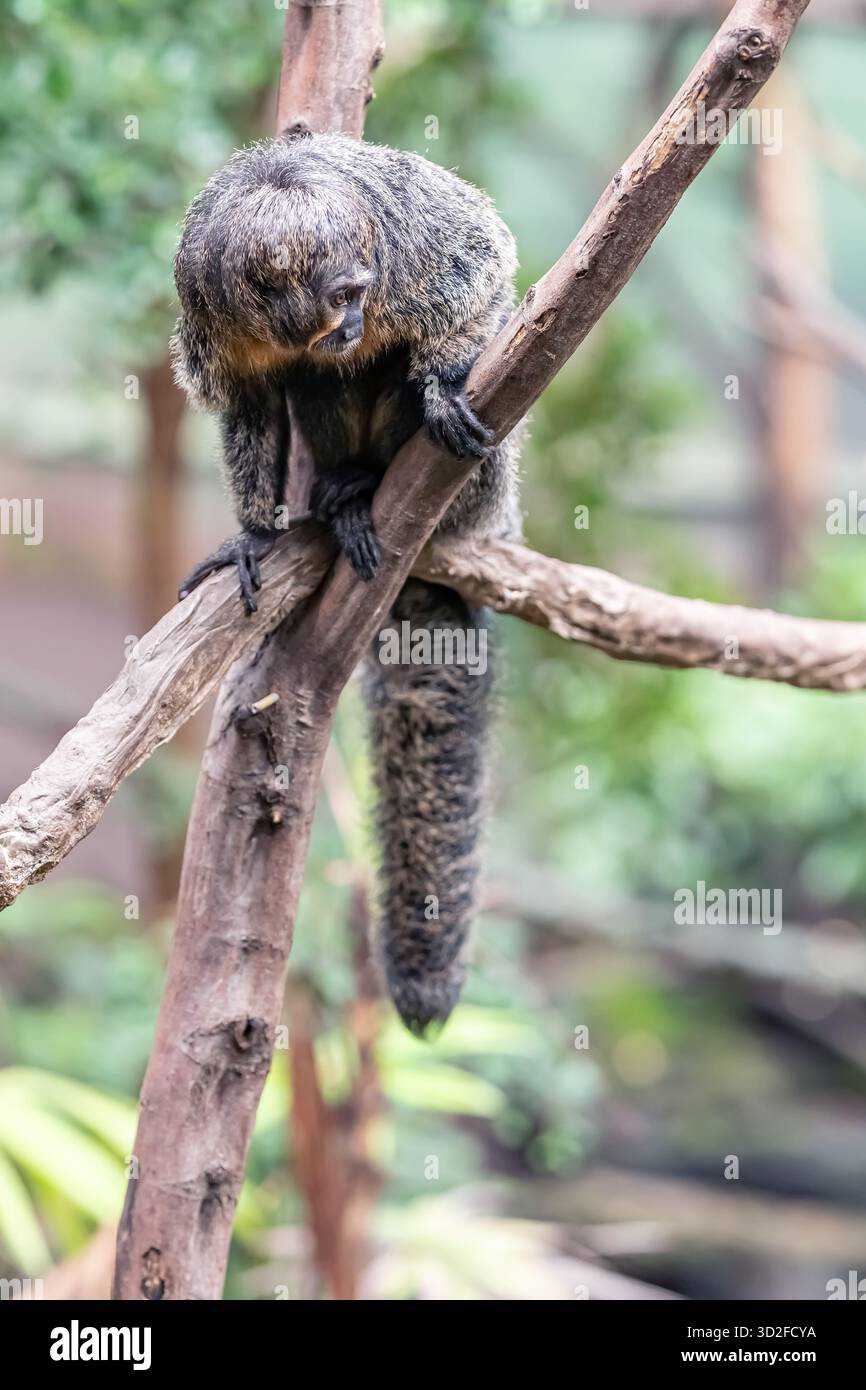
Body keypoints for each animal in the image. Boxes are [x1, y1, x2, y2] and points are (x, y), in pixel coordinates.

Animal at [171, 131, 522, 1035]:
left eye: (360, 291)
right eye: (337, 300)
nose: (358, 320)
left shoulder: (408, 244)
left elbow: (483, 267)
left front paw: (440, 382)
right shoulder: (209, 309)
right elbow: (255, 400)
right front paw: (256, 534)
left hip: (488, 492)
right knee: (315, 382)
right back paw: (344, 495)